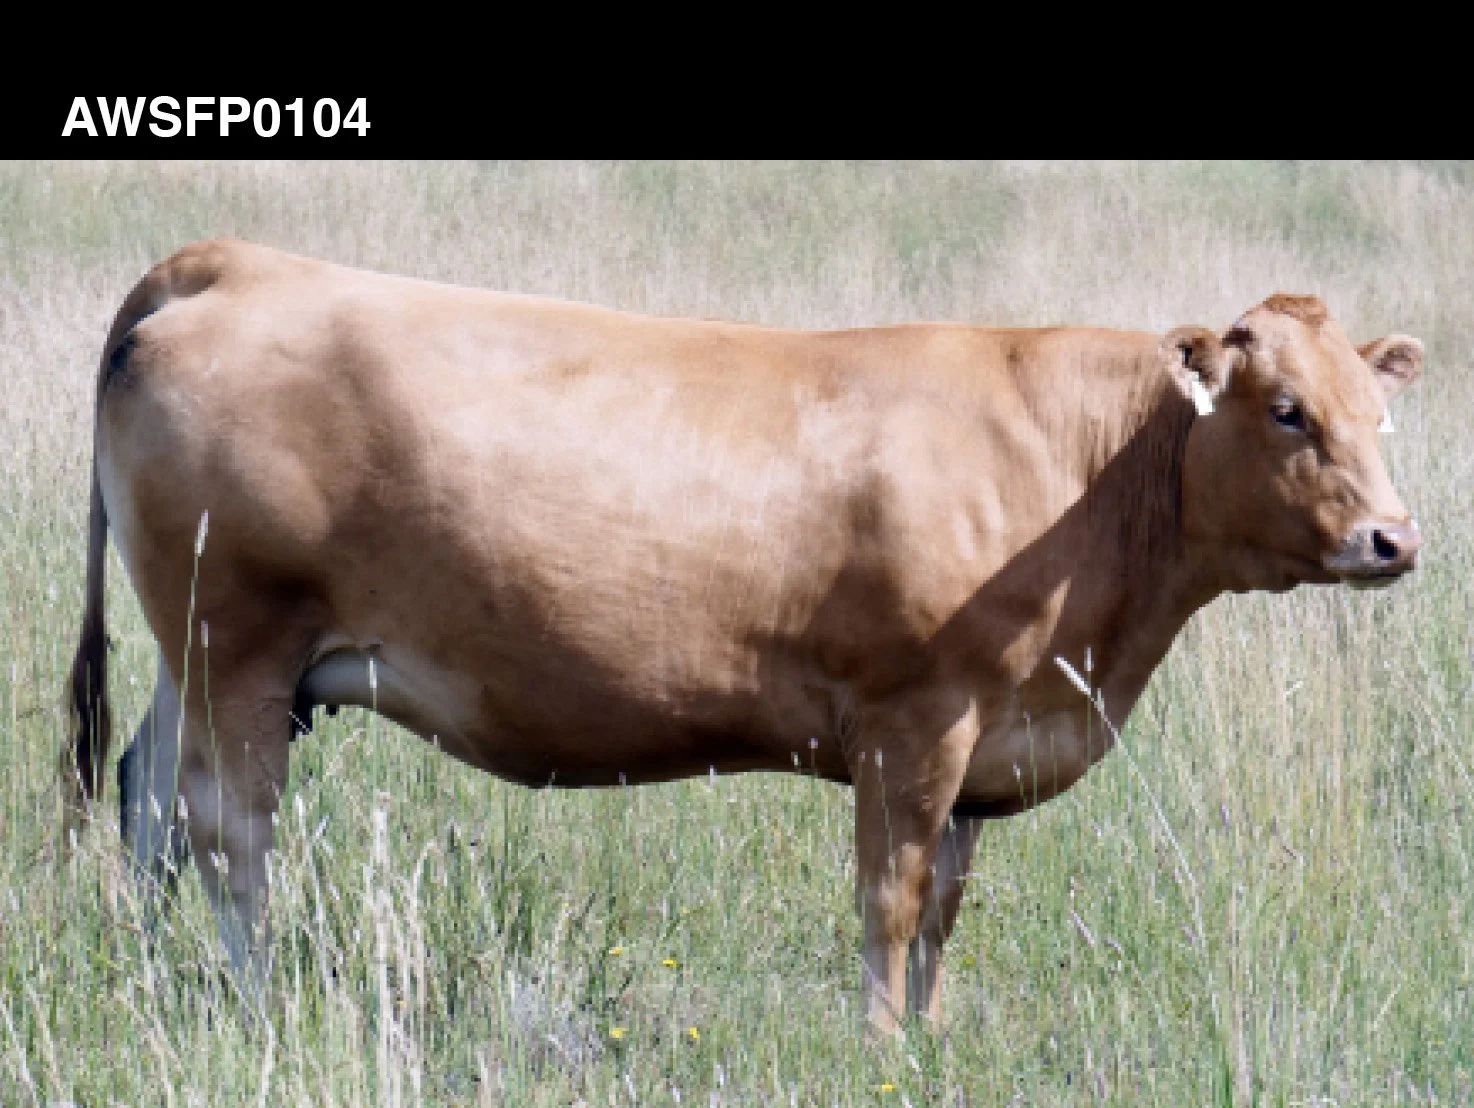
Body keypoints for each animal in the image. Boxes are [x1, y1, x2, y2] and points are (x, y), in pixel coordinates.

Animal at [62, 239, 1424, 1038]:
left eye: (1378, 413)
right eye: (1287, 410)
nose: (1393, 539)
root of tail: (231, 260)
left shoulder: (985, 739)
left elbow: (944, 908)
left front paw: (929, 1037)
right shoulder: (917, 718)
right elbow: (890, 897)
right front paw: (879, 1047)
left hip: (209, 657)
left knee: (146, 799)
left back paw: (145, 974)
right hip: (237, 639)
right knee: (228, 828)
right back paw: (253, 1001)